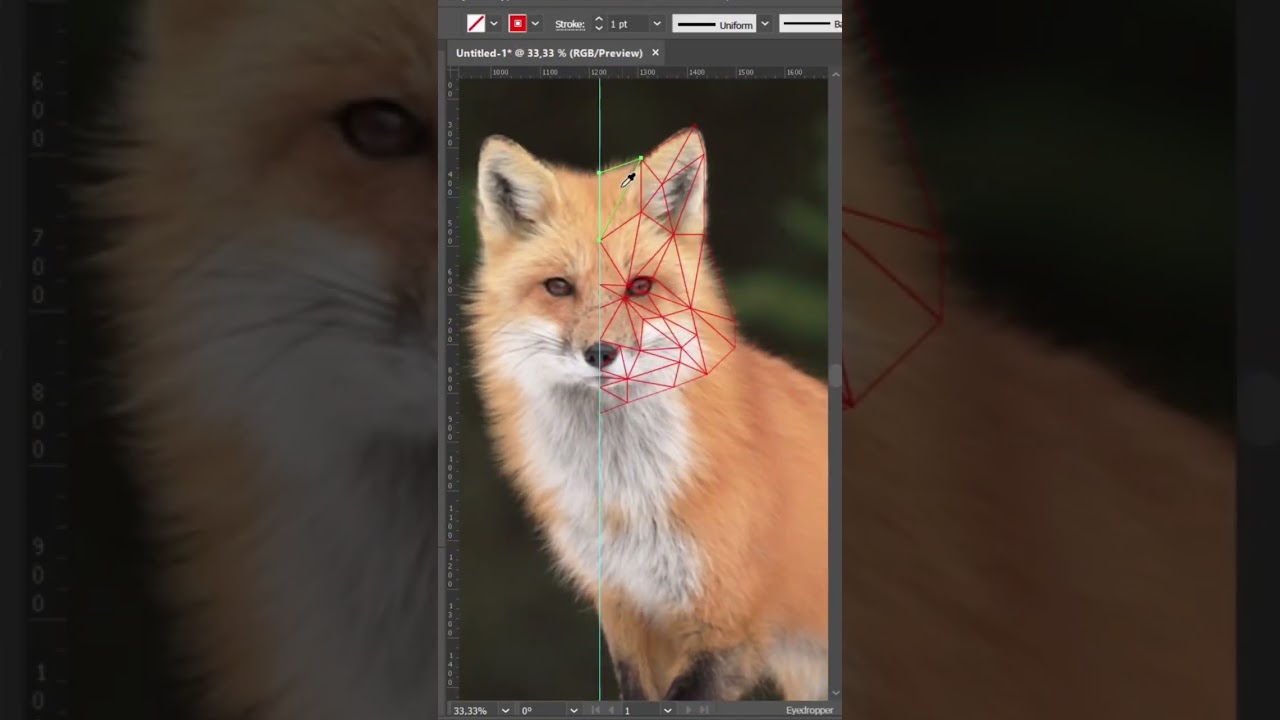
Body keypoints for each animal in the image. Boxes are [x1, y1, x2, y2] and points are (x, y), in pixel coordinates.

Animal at [466, 129, 830, 701]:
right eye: (558, 287)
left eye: (639, 286)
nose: (600, 353)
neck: (629, 500)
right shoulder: (626, 613)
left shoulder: (728, 629)